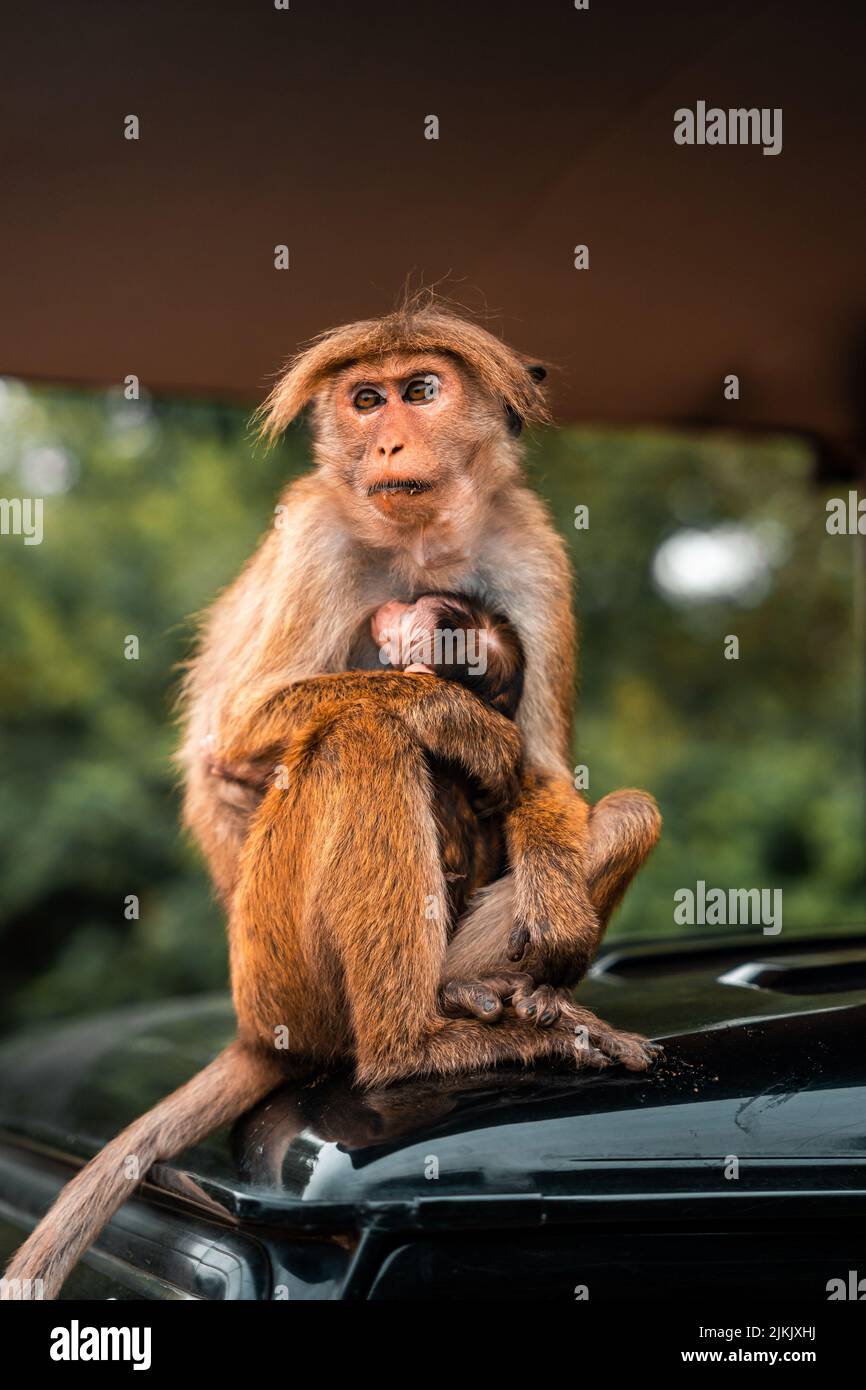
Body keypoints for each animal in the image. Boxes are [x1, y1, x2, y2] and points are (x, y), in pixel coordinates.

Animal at [3, 298, 662, 1298]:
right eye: (366, 399)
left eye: (421, 391)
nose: (387, 440)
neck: (423, 538)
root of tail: (259, 1035)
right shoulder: (317, 528)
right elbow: (236, 736)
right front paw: (452, 718)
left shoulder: (531, 548)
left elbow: (546, 770)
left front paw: (550, 893)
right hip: (279, 973)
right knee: (360, 736)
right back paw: (411, 1044)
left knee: (617, 809)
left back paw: (469, 1004)